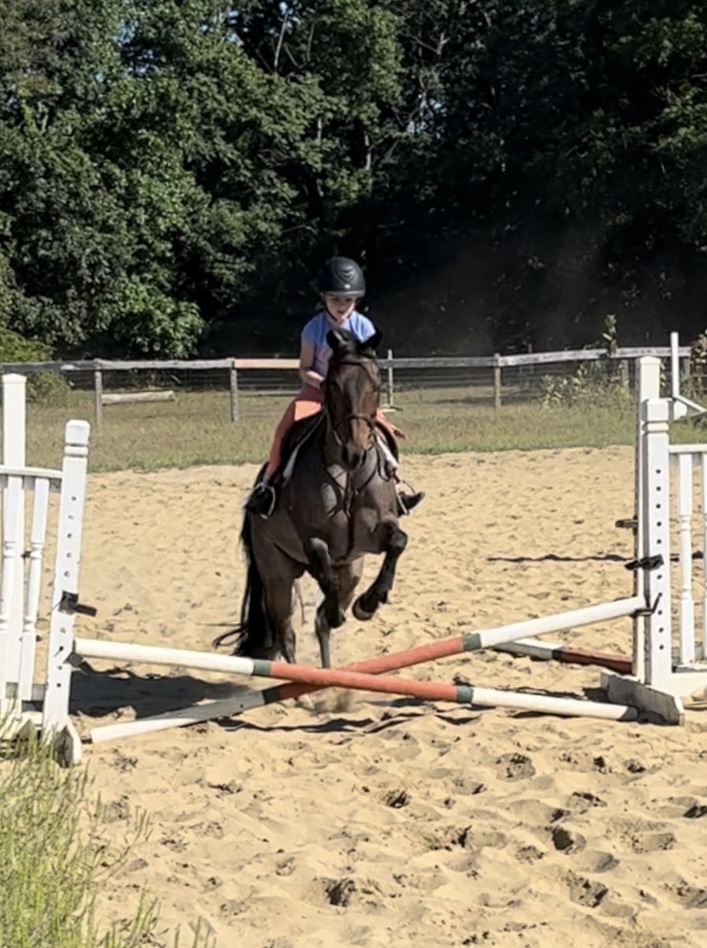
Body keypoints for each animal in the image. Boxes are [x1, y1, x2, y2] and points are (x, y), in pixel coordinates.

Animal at [217, 328, 409, 668]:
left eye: (375, 385)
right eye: (333, 385)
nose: (354, 453)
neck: (348, 476)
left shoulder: (373, 534)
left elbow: (398, 542)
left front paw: (368, 604)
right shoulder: (313, 540)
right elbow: (324, 568)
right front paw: (346, 609)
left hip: (352, 568)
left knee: (321, 622)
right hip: (277, 575)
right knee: (286, 632)